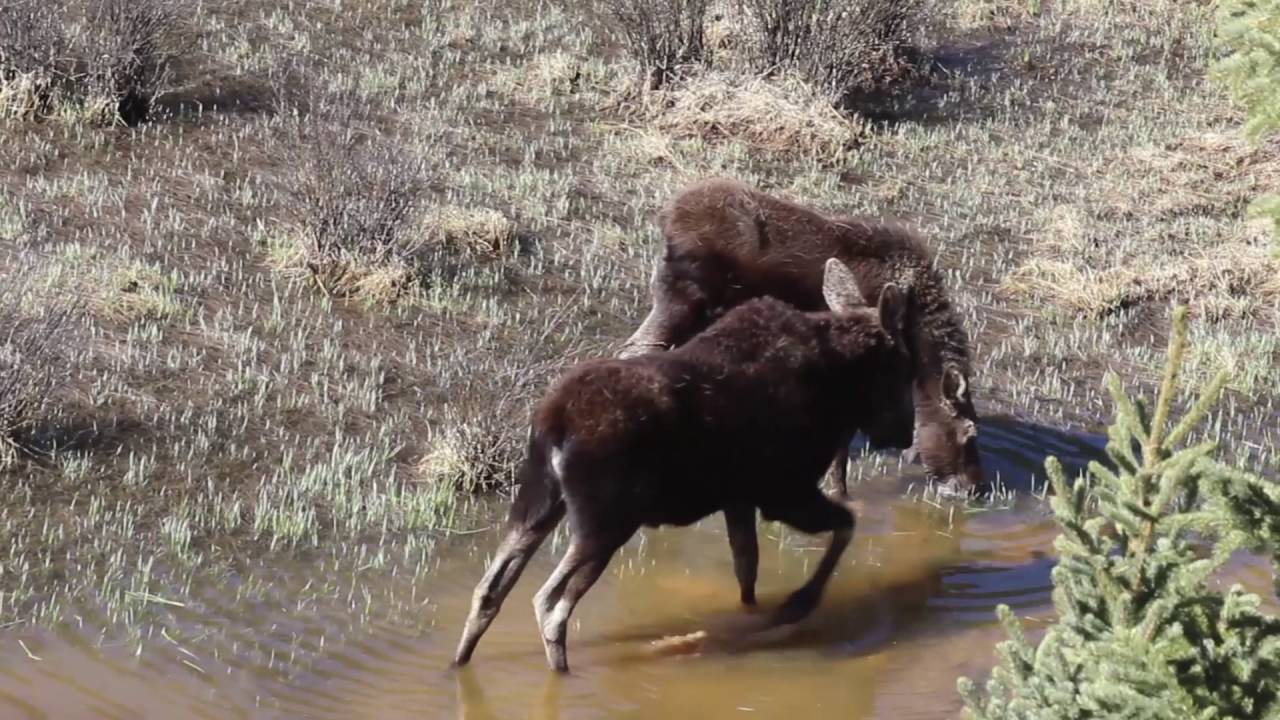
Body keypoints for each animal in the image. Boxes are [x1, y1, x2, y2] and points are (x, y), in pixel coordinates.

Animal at [453, 257, 958, 673]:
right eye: (905, 370)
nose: (903, 436)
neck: (841, 383)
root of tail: (554, 423)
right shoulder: (784, 491)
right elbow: (846, 524)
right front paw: (798, 602)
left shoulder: (740, 498)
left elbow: (747, 567)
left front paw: (756, 613)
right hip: (605, 522)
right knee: (549, 605)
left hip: (539, 504)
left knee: (488, 590)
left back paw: (460, 663)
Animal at [618, 177, 985, 499]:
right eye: (969, 432)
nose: (973, 488)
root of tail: (666, 216)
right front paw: (841, 493)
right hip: (682, 299)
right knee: (634, 353)